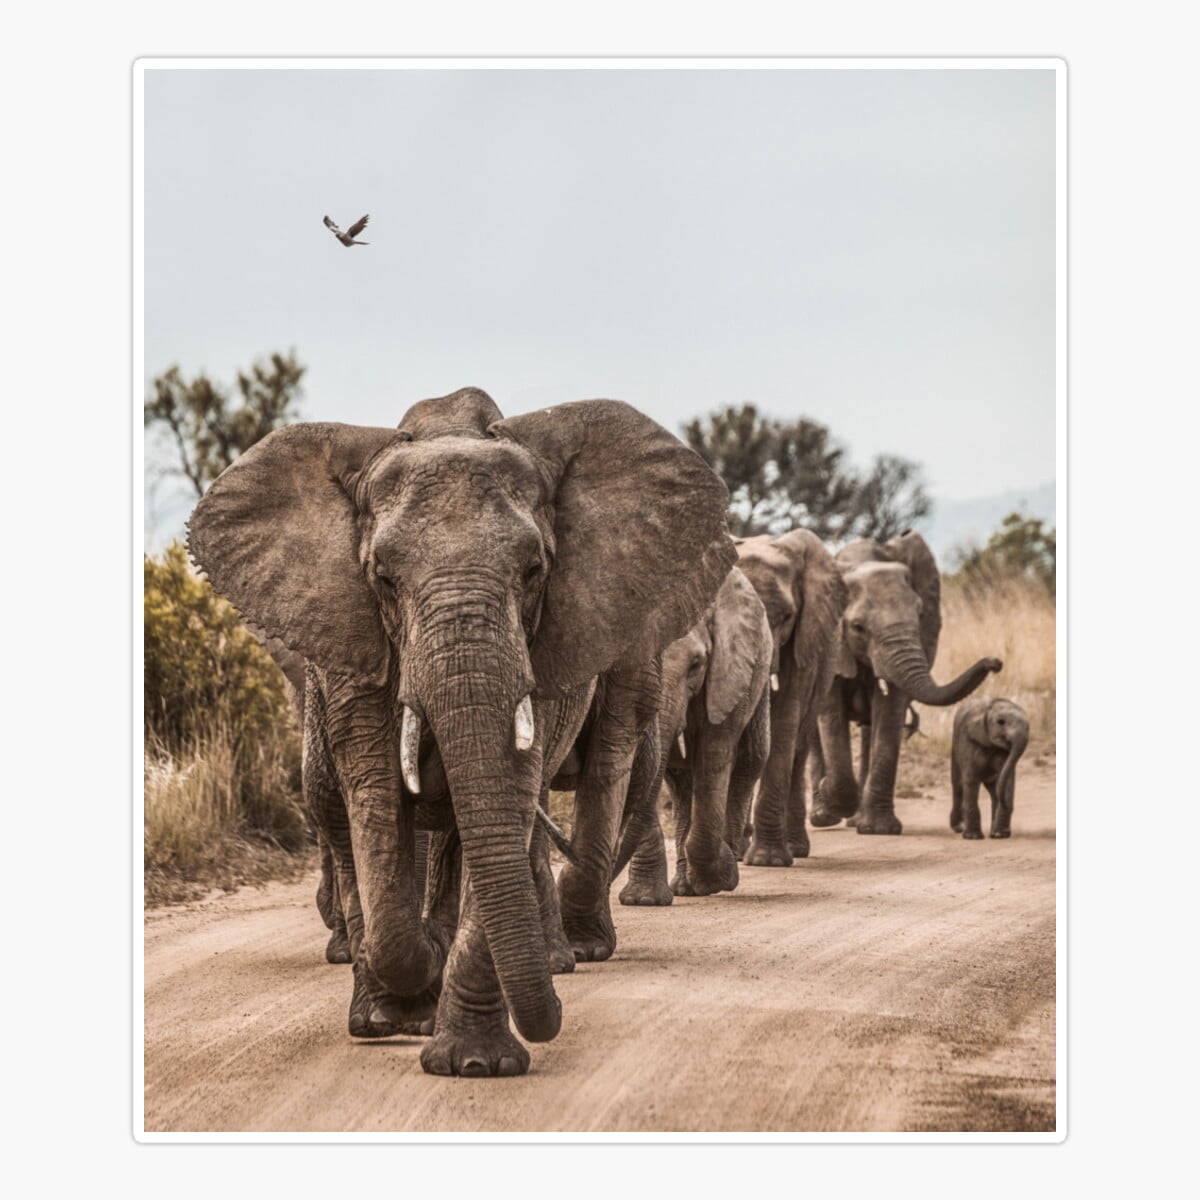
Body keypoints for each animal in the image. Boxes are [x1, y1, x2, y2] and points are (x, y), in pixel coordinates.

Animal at [187, 386, 735, 1077]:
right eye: (383, 579)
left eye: (534, 571)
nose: (556, 1012)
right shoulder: (352, 644)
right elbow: (374, 801)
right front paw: (402, 1002)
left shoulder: (541, 653)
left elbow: (507, 800)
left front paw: (473, 1063)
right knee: (344, 818)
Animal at [614, 567, 773, 904]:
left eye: (696, 665)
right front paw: (643, 901)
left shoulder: (727, 671)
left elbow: (714, 756)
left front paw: (722, 875)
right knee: (679, 780)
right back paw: (686, 887)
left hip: (759, 673)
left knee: (750, 760)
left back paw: (725, 865)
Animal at [730, 530, 848, 866]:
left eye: (786, 617)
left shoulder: (804, 638)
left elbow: (784, 721)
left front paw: (767, 860)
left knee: (799, 746)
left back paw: (794, 848)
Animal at [809, 531, 1003, 835]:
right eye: (857, 628)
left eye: (921, 616)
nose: (995, 662)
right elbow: (830, 714)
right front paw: (831, 794)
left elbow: (890, 712)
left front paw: (878, 830)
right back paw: (822, 816)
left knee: (869, 728)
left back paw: (855, 818)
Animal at [950, 697, 1029, 839]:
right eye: (1001, 722)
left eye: (1028, 727)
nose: (1006, 804)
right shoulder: (968, 741)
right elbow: (971, 779)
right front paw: (973, 837)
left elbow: (1007, 779)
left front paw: (1000, 835)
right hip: (955, 746)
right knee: (958, 785)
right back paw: (959, 828)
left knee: (994, 790)